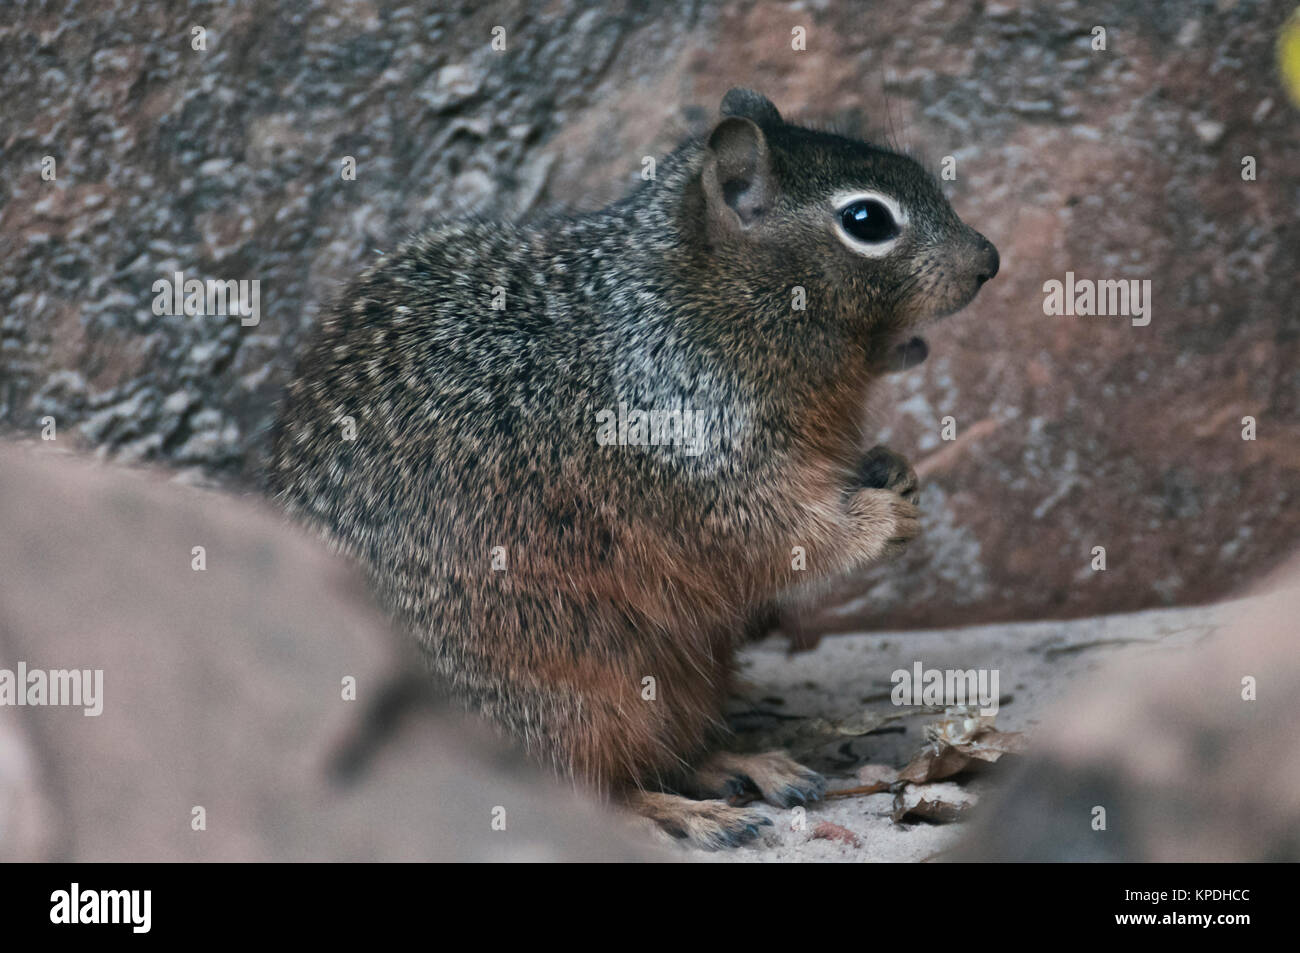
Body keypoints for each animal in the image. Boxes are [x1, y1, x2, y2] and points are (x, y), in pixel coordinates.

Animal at [266, 88, 998, 848]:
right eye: (866, 220)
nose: (989, 259)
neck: (699, 306)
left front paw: (893, 467)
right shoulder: (704, 466)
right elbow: (786, 534)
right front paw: (882, 518)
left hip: (684, 678)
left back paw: (745, 764)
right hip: (565, 700)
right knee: (584, 789)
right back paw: (687, 812)